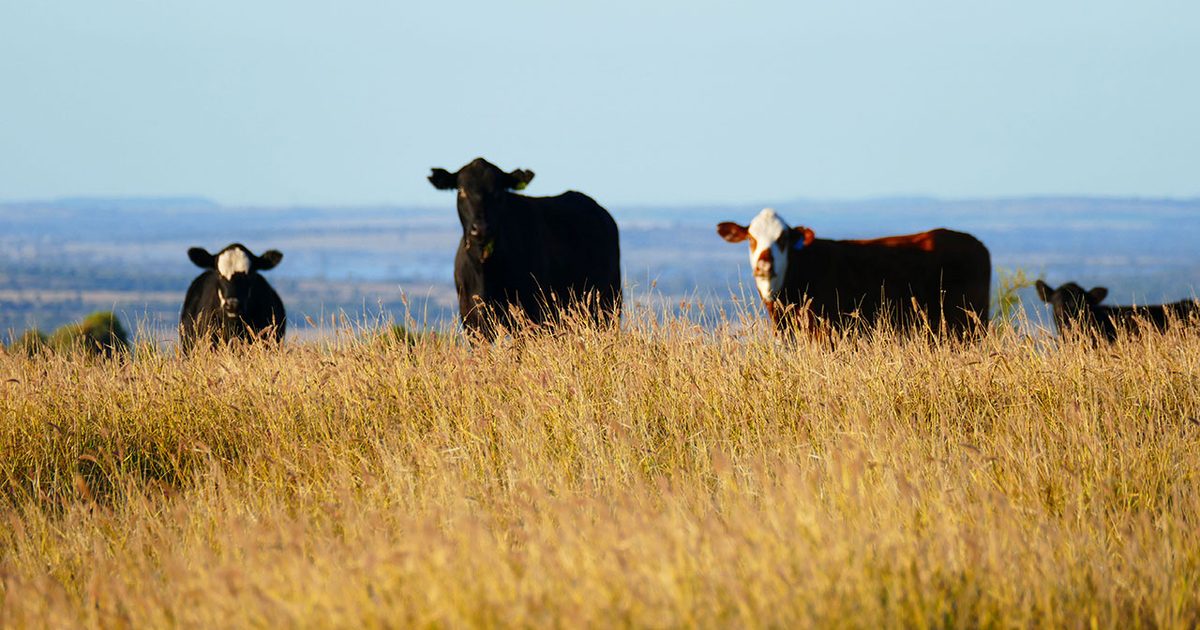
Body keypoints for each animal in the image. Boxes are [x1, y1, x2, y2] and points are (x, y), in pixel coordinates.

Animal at [428, 157, 622, 340]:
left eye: (499, 192)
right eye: (461, 191)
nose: (481, 228)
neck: (485, 272)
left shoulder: (530, 315)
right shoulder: (472, 320)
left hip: (608, 302)